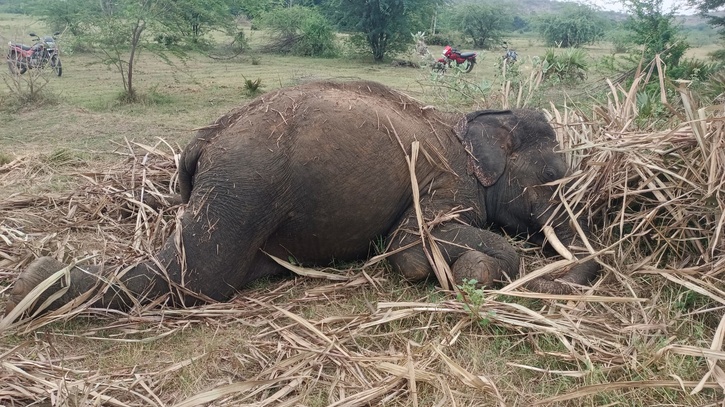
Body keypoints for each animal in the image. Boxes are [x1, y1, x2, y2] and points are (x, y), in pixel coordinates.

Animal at [5, 80, 599, 316]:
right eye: (555, 174)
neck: (475, 120)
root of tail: (205, 139)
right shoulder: (442, 182)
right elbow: (410, 237)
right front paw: (451, 269)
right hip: (245, 182)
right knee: (196, 279)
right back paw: (36, 283)